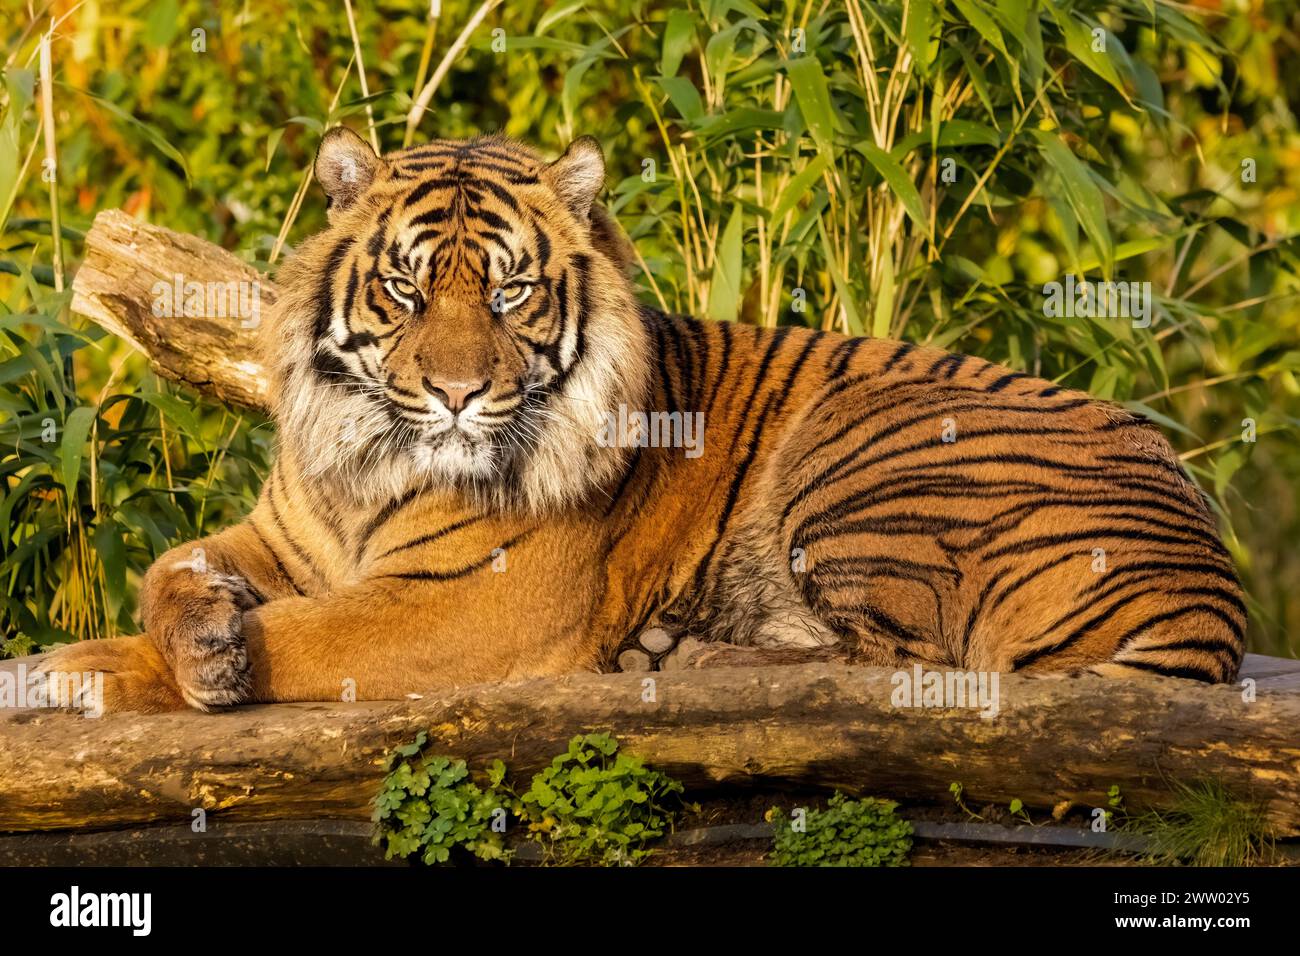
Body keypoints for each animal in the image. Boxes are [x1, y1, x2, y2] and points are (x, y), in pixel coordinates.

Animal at [39, 127, 1247, 713]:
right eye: (407, 290)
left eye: (511, 294)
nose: (456, 393)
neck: (367, 458)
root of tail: (1209, 594)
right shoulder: (280, 535)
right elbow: (169, 569)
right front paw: (185, 632)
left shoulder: (477, 599)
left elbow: (301, 636)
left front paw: (82, 667)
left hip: (872, 443)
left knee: (906, 663)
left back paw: (684, 659)